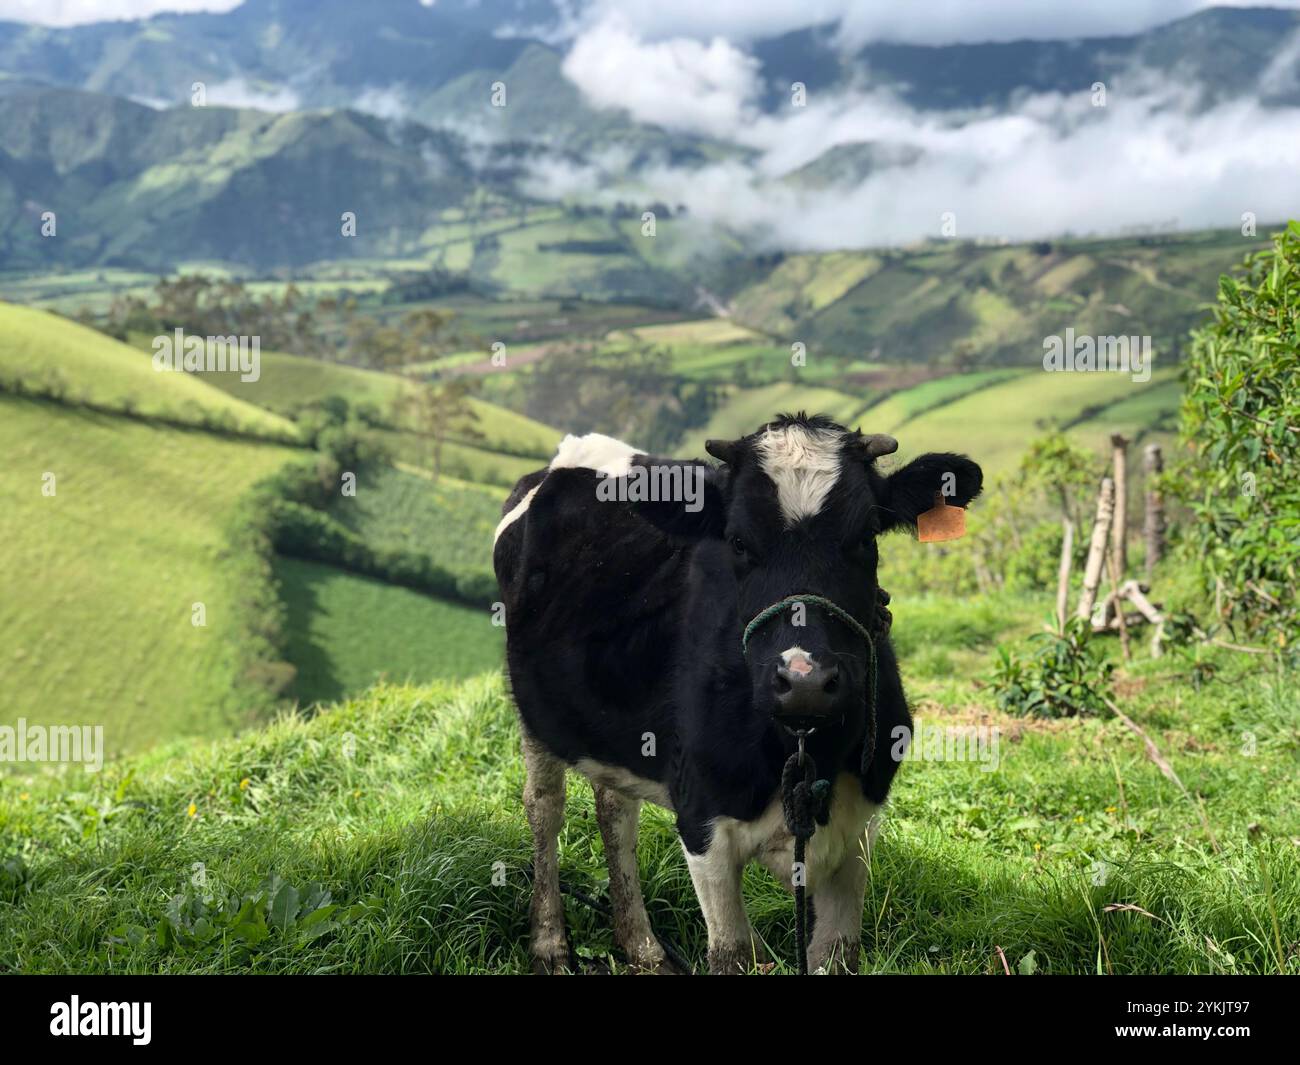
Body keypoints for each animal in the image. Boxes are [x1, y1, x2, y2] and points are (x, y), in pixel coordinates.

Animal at [492, 413, 982, 974]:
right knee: (544, 807)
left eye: (865, 537)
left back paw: (643, 948)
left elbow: (837, 952)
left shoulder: (861, 823)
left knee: (615, 811)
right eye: (739, 542)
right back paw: (550, 945)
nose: (804, 681)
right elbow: (732, 953)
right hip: (536, 714)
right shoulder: (702, 819)